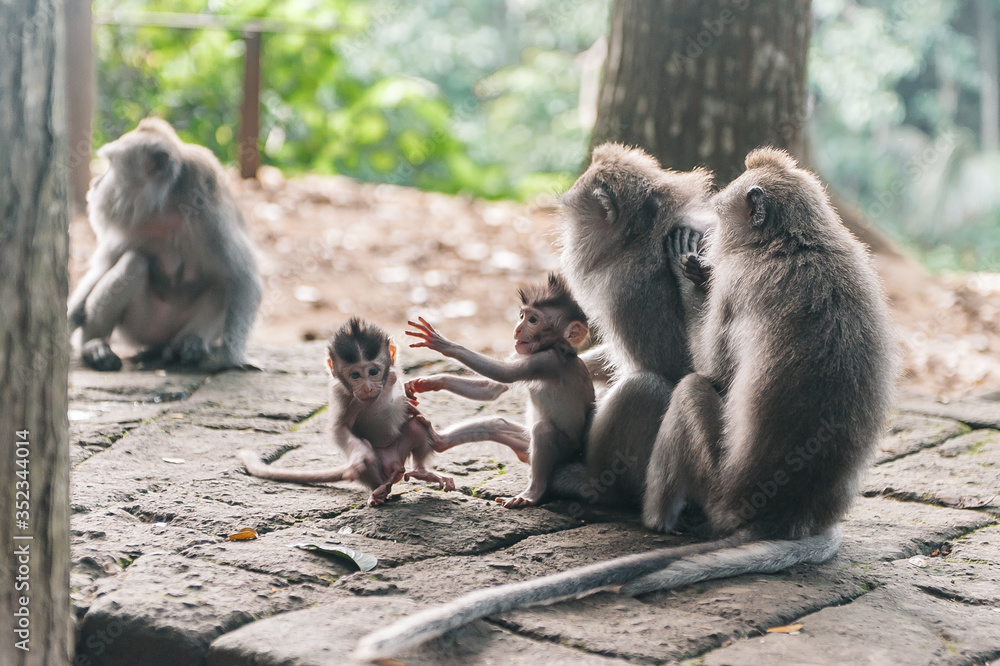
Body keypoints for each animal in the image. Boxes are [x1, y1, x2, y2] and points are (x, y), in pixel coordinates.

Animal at [67, 117, 261, 372]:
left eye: (110, 166)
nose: (95, 183)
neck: (166, 209)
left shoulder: (213, 220)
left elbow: (243, 279)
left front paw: (227, 358)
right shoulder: (131, 223)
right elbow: (105, 263)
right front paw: (72, 312)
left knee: (221, 283)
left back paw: (189, 344)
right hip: (141, 327)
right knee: (133, 262)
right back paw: (93, 346)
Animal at [239, 317, 454, 508]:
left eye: (373, 372)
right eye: (355, 375)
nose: (367, 387)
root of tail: (395, 465)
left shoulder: (391, 375)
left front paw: (411, 397)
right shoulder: (341, 394)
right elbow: (341, 429)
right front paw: (359, 455)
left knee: (417, 425)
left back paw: (422, 472)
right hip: (381, 468)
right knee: (374, 462)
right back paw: (381, 490)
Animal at [405, 273, 595, 508]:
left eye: (533, 320)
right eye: (521, 315)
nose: (517, 329)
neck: (552, 347)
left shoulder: (545, 362)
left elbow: (504, 374)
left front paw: (444, 344)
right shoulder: (521, 353)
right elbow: (490, 389)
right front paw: (429, 381)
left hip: (565, 450)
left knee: (543, 431)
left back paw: (531, 494)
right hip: (525, 442)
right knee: (496, 424)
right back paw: (438, 441)